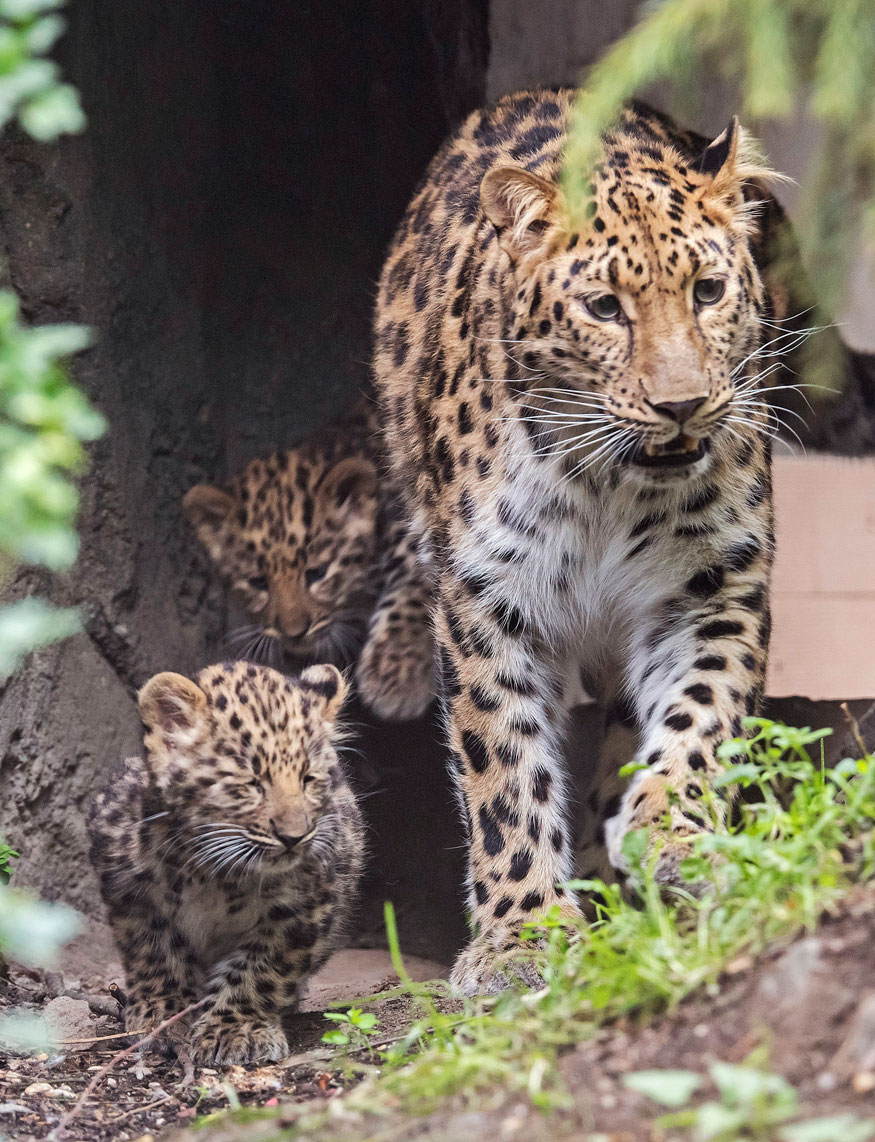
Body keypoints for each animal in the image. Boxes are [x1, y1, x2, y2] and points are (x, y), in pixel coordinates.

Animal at [87, 660, 365, 1065]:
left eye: (309, 778)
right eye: (250, 783)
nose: (295, 836)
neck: (214, 874)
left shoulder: (306, 906)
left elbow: (263, 969)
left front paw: (236, 1029)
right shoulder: (127, 887)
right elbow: (155, 952)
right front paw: (165, 1012)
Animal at [372, 88, 790, 994]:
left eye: (707, 291)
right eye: (604, 309)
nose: (682, 405)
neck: (608, 489)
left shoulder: (712, 584)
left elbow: (699, 719)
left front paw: (674, 838)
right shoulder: (486, 603)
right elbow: (502, 769)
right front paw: (521, 935)